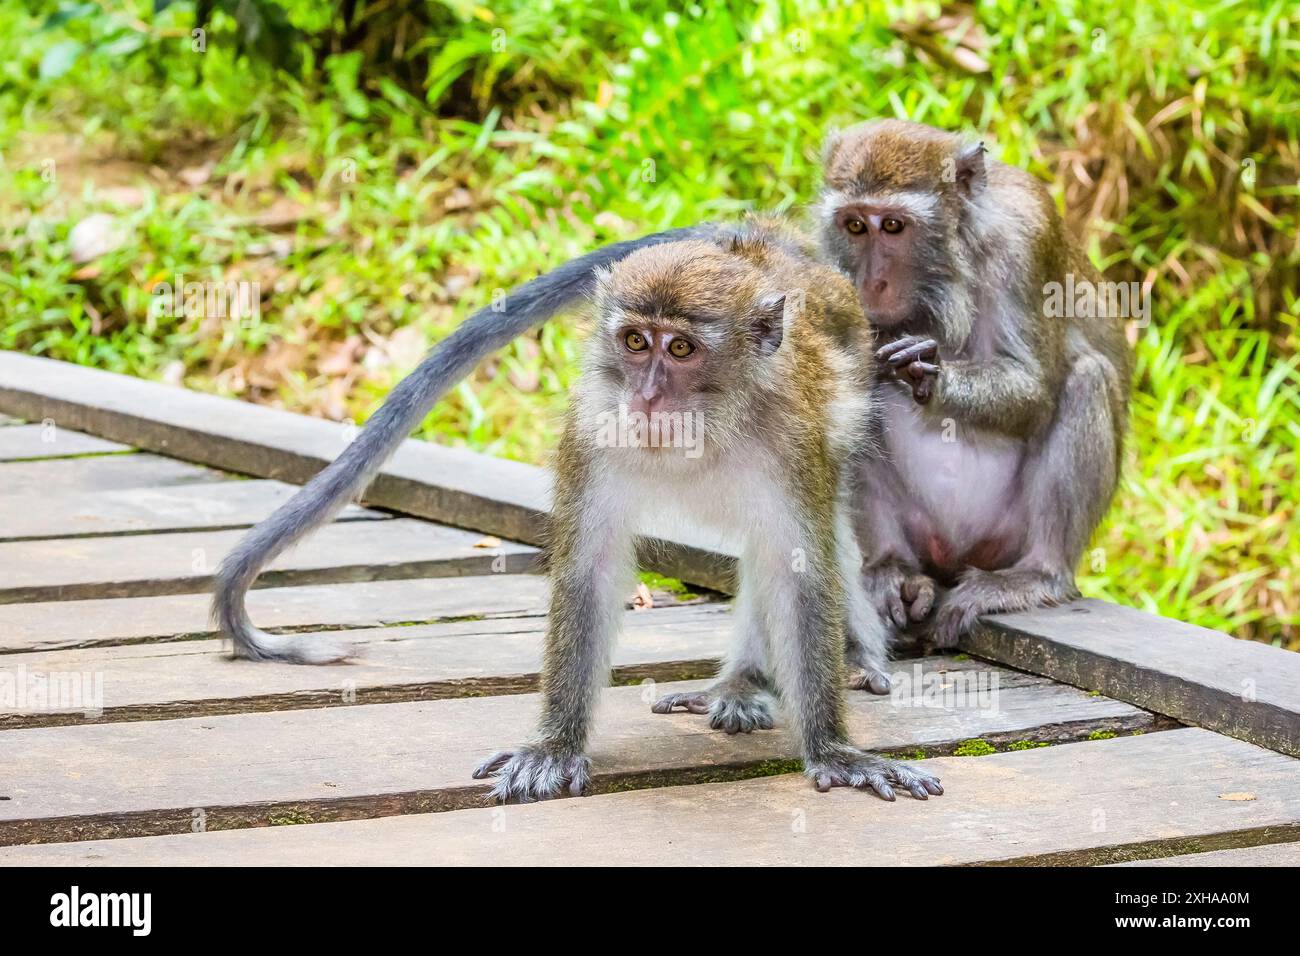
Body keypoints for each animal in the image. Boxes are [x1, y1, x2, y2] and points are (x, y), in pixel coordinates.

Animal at [471, 218, 942, 802]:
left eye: (680, 348)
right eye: (634, 341)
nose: (647, 397)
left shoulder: (793, 442)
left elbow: (797, 576)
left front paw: (833, 748)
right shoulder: (591, 429)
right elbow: (589, 572)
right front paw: (555, 744)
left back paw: (800, 668)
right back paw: (739, 683)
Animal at [816, 119, 1133, 647]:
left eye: (894, 226)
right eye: (855, 226)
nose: (871, 284)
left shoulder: (1026, 242)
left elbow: (1034, 390)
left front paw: (931, 374)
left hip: (1006, 538)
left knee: (1087, 378)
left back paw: (1038, 574)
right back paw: (890, 568)